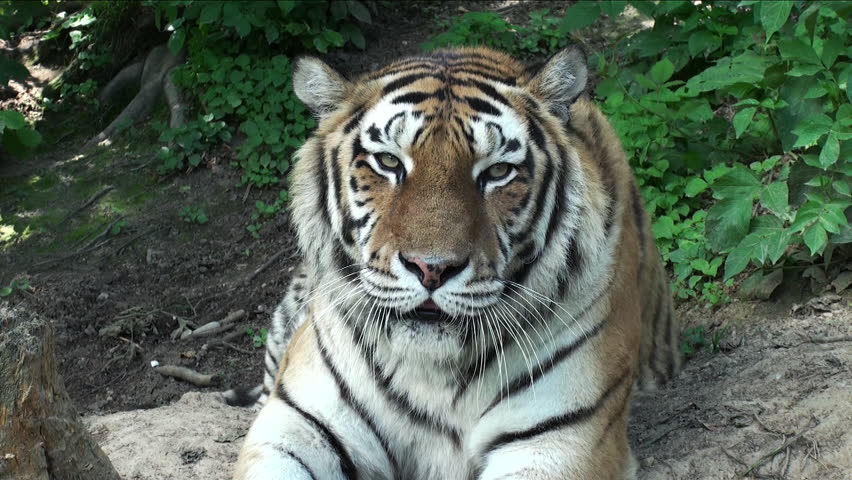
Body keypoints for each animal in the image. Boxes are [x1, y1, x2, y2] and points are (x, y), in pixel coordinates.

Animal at [227, 45, 680, 480]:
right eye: (389, 162)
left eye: (498, 171)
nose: (432, 268)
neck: (430, 373)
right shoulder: (297, 423)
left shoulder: (560, 439)